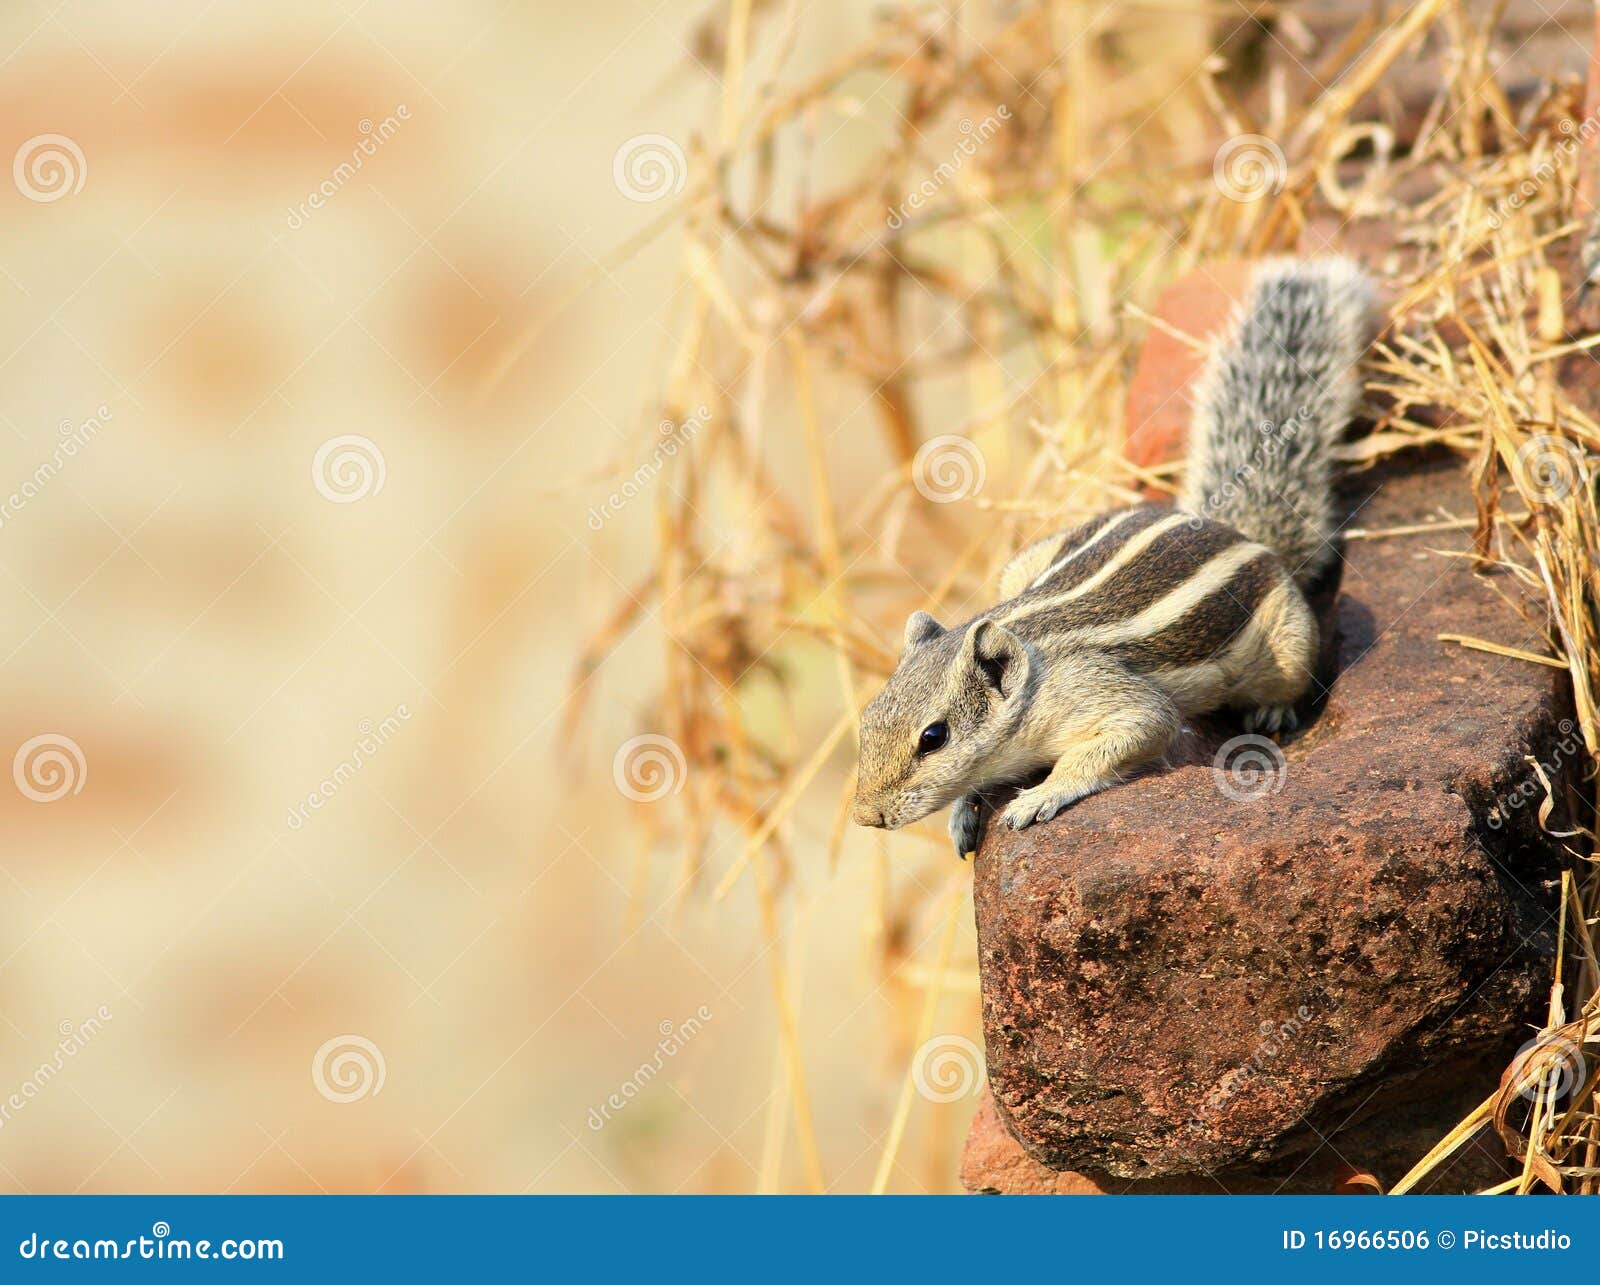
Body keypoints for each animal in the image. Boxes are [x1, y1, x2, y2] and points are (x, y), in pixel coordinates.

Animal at [851, 257, 1376, 858]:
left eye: (933, 738)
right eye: (869, 716)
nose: (865, 816)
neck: (1031, 676)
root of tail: (1225, 522)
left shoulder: (1101, 693)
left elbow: (1139, 728)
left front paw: (1039, 795)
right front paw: (964, 811)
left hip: (1289, 636)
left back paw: (1271, 708)